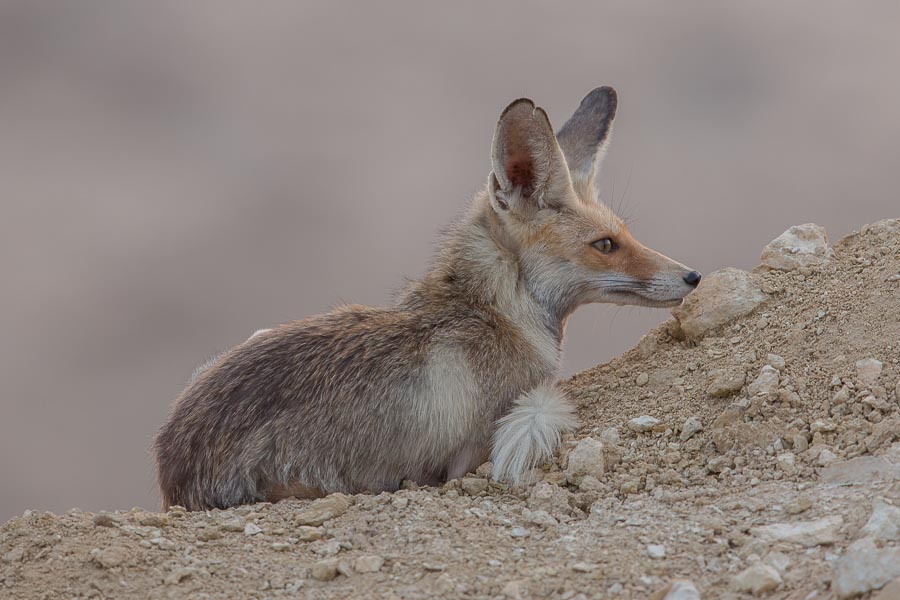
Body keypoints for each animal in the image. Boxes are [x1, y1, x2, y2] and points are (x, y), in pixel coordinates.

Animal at [154, 86, 701, 511]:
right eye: (605, 246)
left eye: (624, 234)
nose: (693, 276)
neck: (492, 313)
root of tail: (172, 473)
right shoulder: (469, 453)